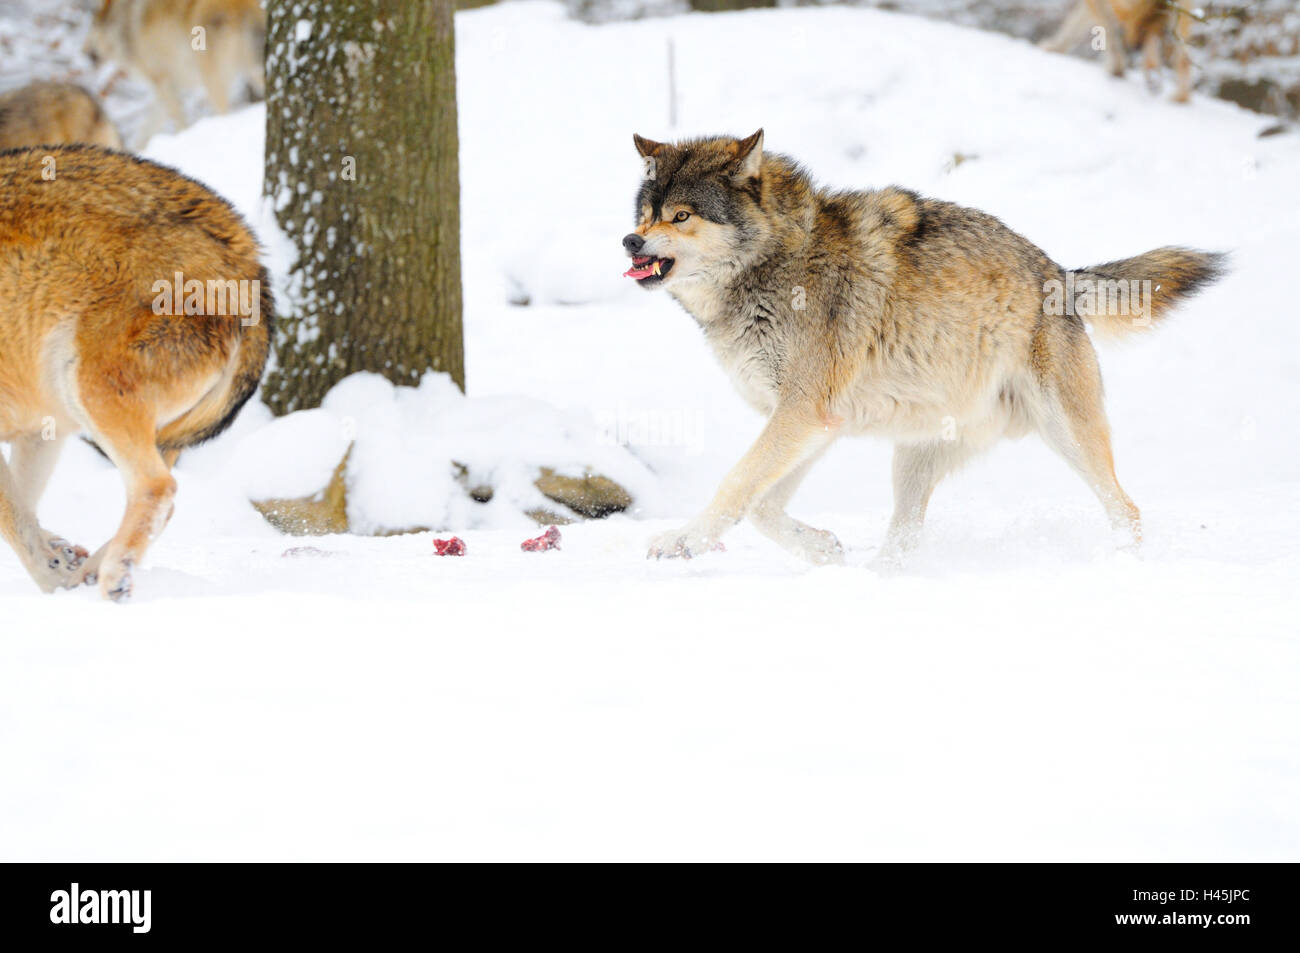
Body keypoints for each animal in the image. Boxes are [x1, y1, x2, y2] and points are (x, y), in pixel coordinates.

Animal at [0, 145, 272, 599]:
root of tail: (251, 268)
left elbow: (14, 519)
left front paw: (51, 581)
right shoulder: (37, 428)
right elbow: (25, 509)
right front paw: (60, 556)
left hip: (90, 389)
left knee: (159, 488)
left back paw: (112, 576)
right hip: (94, 406)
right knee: (166, 496)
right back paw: (93, 569)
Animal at [85, 0, 266, 146]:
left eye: (92, 26)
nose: (84, 52)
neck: (124, 24)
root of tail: (243, 7)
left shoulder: (162, 81)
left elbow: (179, 121)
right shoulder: (167, 88)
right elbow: (144, 132)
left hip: (213, 80)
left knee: (225, 114)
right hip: (252, 73)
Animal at [623, 130, 1224, 564]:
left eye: (681, 216)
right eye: (645, 214)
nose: (630, 241)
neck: (773, 264)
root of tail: (1059, 273)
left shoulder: (801, 413)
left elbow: (736, 487)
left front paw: (680, 541)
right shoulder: (810, 420)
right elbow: (760, 506)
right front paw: (823, 551)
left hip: (1066, 433)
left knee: (1128, 508)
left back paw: (1125, 561)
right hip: (913, 460)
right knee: (904, 535)